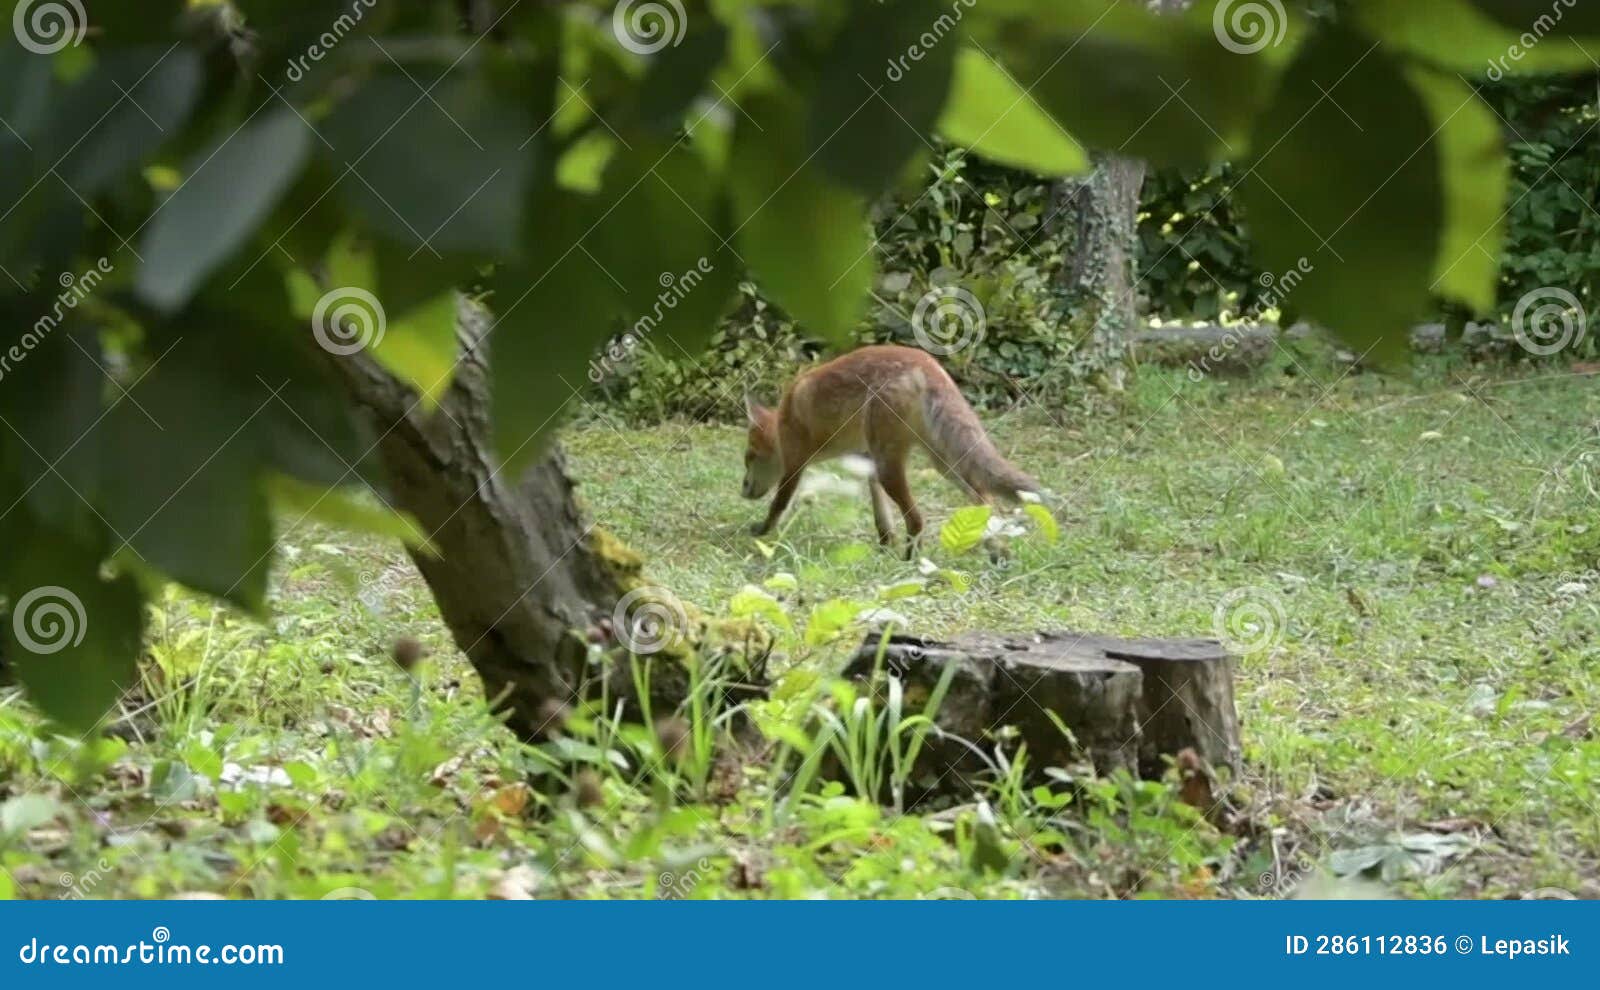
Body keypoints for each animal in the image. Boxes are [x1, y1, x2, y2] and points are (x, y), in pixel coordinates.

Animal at [741, 344, 1038, 553]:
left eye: (750, 458)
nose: (742, 490)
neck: (785, 419)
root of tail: (926, 362)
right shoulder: (866, 459)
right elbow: (881, 516)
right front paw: (884, 546)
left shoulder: (795, 463)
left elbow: (778, 504)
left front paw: (760, 532)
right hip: (942, 462)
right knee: (985, 499)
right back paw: (997, 552)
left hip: (893, 467)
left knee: (918, 519)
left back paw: (911, 562)